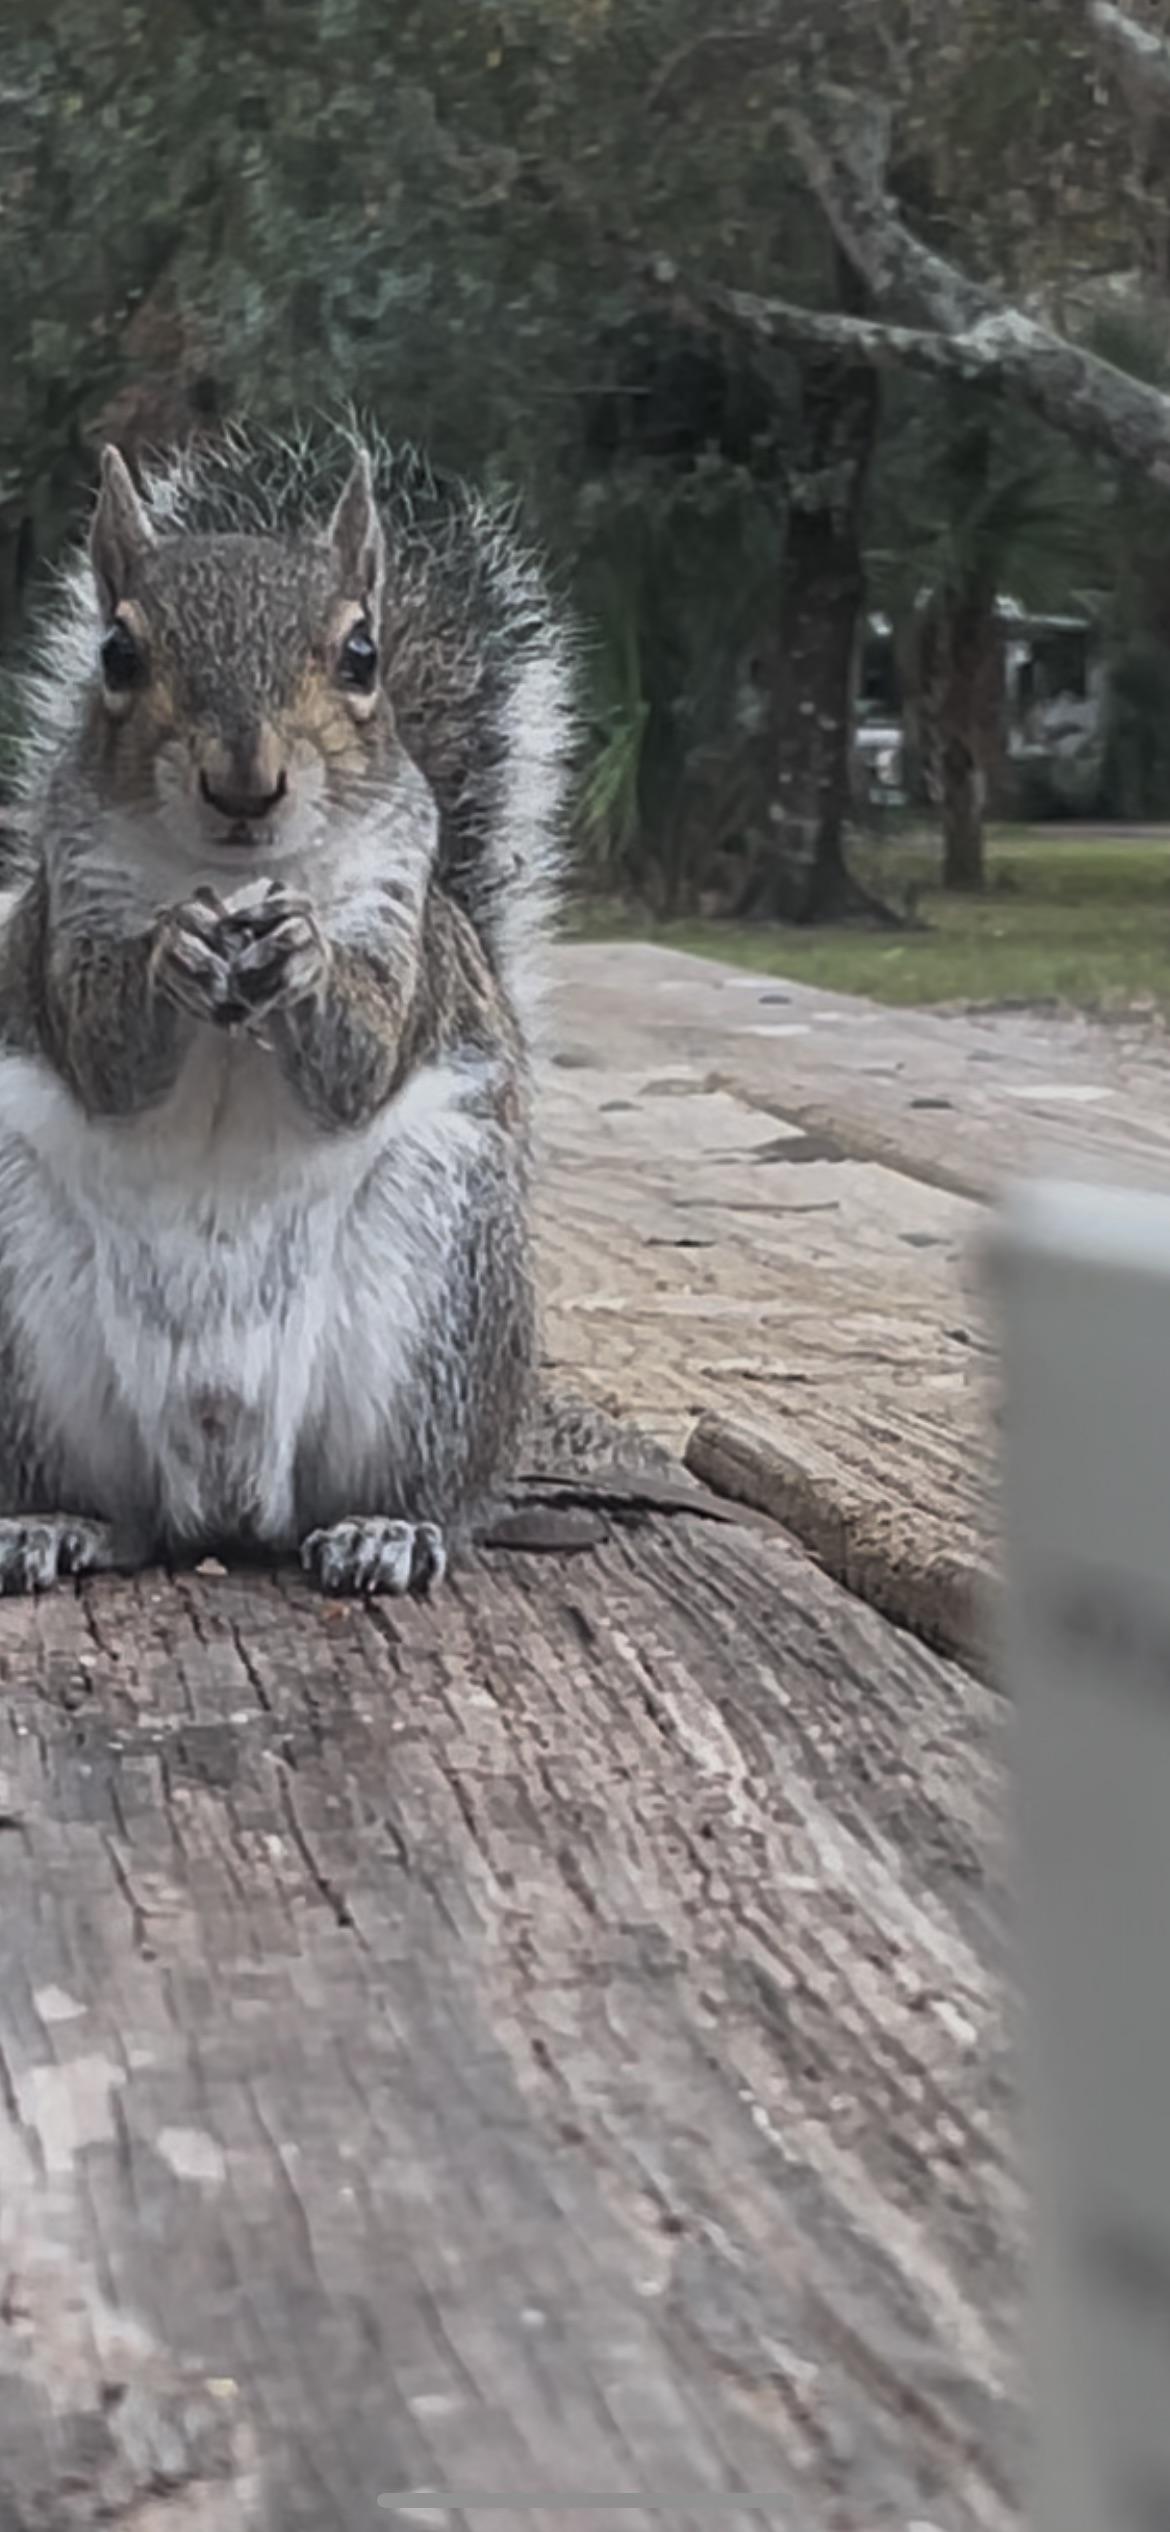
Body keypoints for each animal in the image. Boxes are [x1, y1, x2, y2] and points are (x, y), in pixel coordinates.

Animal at [0, 422, 583, 1598]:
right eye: (116, 655)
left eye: (361, 656)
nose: (245, 782)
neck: (227, 878)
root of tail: (224, 1486)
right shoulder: (63, 917)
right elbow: (104, 1054)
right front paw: (168, 954)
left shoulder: (404, 923)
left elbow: (359, 1064)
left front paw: (306, 956)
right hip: (20, 1323)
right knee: (121, 1513)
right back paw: (53, 1522)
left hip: (439, 1296)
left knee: (426, 1490)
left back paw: (385, 1531)